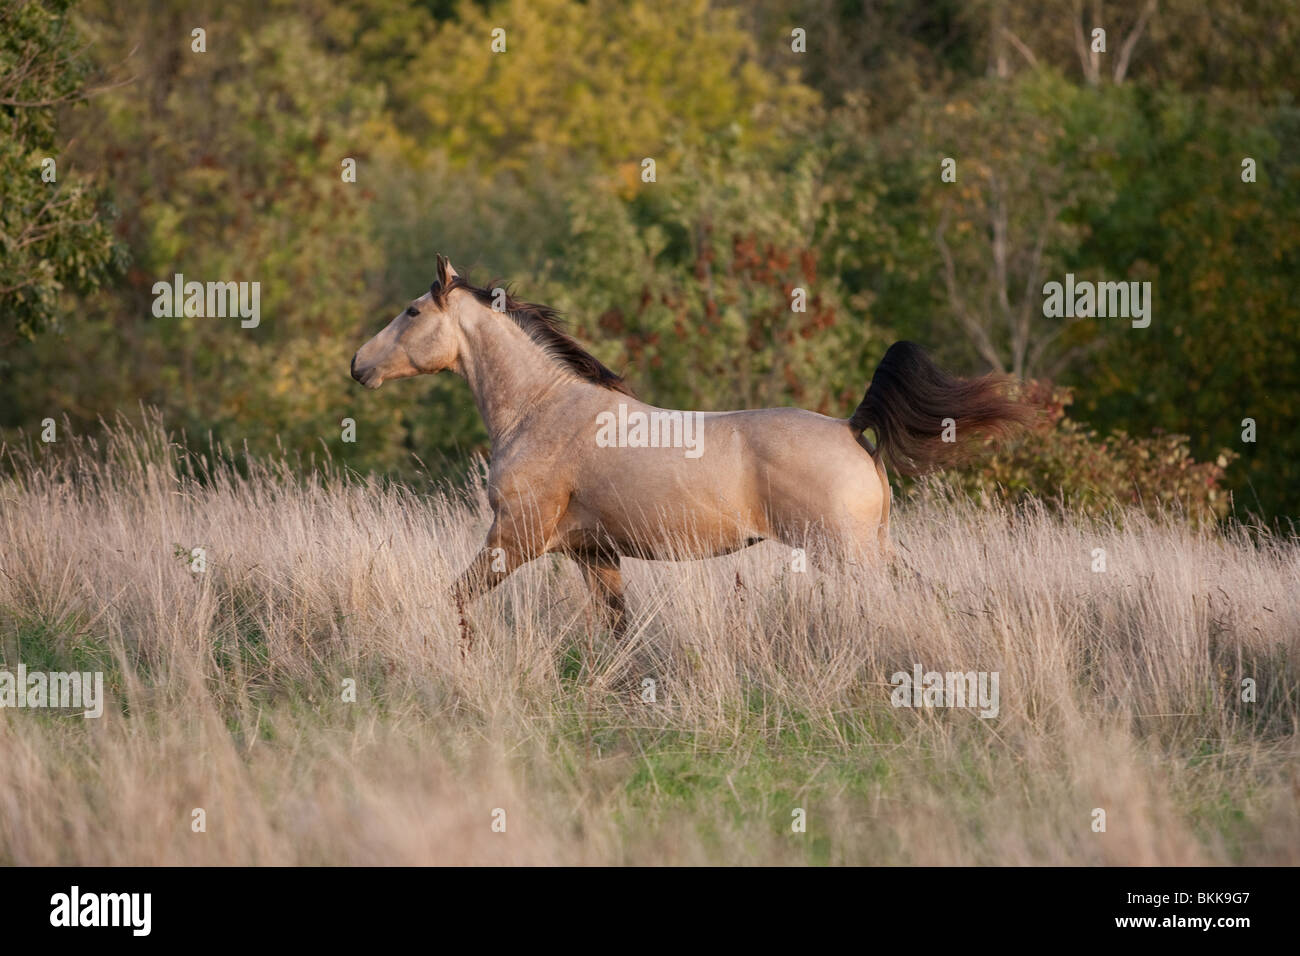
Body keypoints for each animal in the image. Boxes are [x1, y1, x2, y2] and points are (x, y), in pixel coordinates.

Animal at [351, 256, 1030, 644]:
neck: (542, 409)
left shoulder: (513, 538)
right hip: (875, 547)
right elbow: (618, 631)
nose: (358, 365)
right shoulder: (594, 554)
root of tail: (849, 427)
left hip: (847, 552)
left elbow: (456, 600)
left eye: (411, 310)